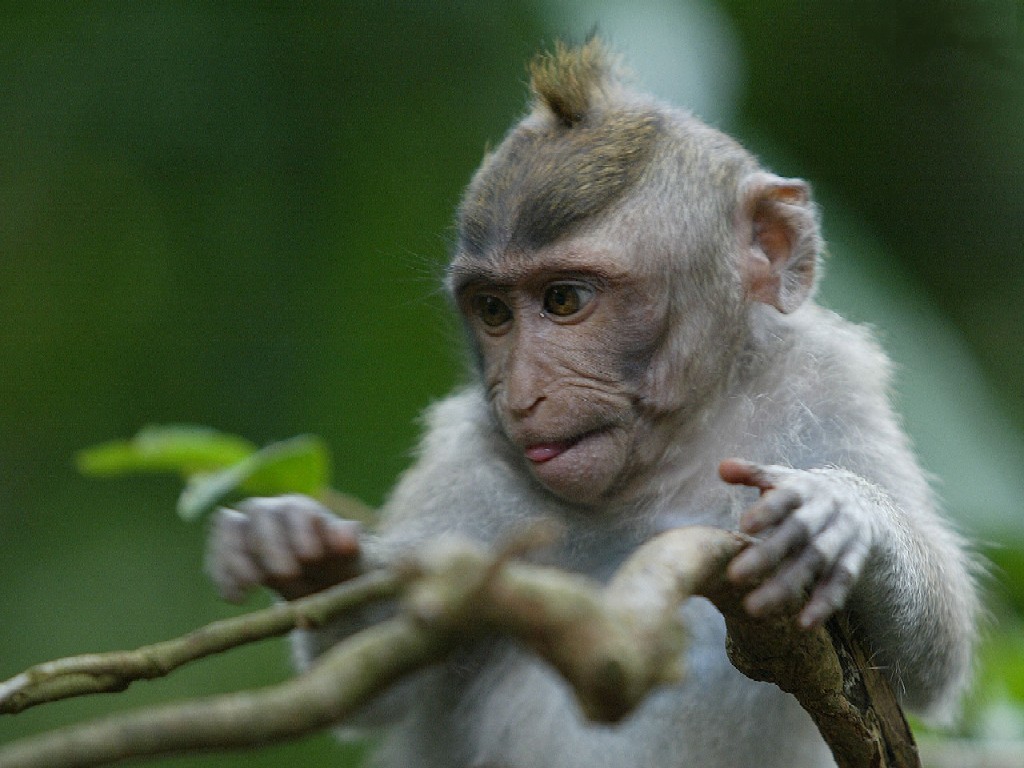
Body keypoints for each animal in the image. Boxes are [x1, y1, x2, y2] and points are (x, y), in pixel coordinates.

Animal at [207, 39, 979, 768]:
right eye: (493, 312)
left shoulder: (830, 382)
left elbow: (934, 660)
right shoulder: (469, 460)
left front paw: (846, 516)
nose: (522, 395)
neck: (672, 461)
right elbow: (387, 668)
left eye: (563, 300)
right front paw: (302, 555)